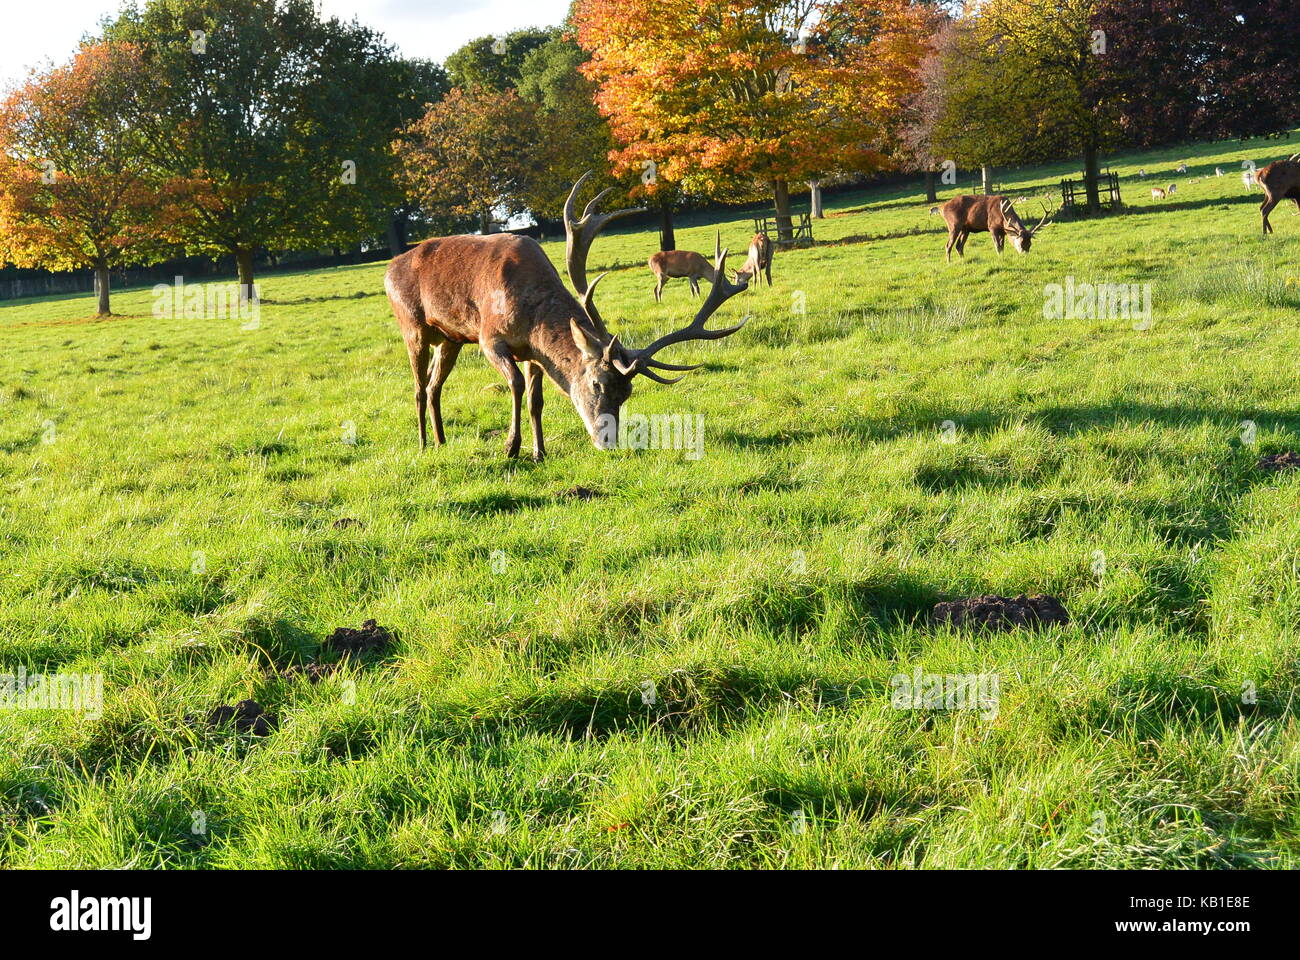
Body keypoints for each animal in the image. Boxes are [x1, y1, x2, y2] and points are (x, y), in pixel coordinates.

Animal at [383, 171, 749, 460]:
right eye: (597, 383)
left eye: (627, 393)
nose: (608, 441)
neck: (532, 315)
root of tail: (388, 268)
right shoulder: (489, 337)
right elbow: (515, 384)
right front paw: (510, 448)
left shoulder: (532, 353)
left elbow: (536, 400)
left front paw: (539, 452)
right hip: (411, 326)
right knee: (418, 386)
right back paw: (423, 444)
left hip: (450, 338)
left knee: (434, 386)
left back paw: (441, 441)